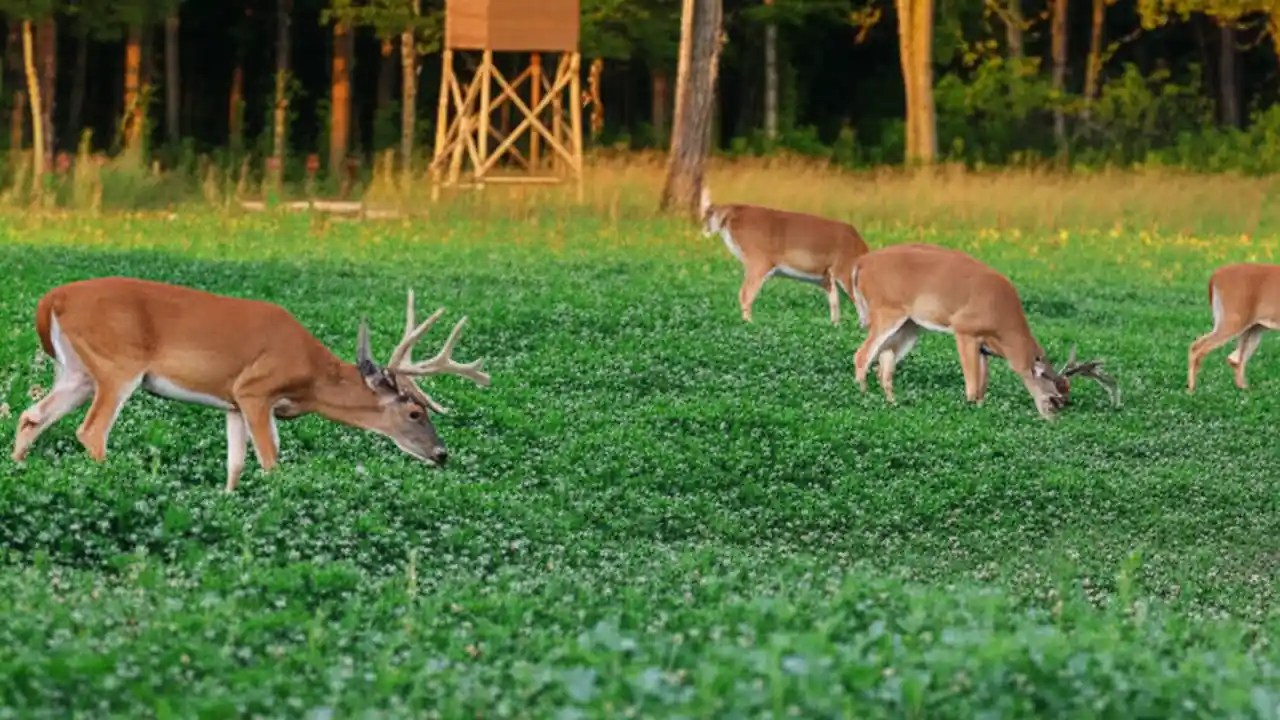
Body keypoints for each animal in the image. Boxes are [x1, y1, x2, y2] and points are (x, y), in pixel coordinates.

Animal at [10, 277, 491, 492]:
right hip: (117, 364)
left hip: (76, 371)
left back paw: (18, 471)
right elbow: (270, 460)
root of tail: (50, 301)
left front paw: (229, 503)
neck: (310, 379)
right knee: (91, 431)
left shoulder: (231, 404)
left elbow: (235, 464)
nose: (442, 454)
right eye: (415, 411)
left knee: (31, 415)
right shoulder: (255, 390)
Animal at [700, 186, 871, 325]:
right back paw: (750, 323)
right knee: (745, 293)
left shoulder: (827, 278)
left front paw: (836, 325)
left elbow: (835, 302)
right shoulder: (844, 268)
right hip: (759, 260)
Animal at [849, 243, 1119, 418]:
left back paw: (892, 403)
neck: (1004, 324)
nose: (1056, 411)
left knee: (884, 362)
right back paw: (864, 398)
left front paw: (980, 409)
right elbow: (971, 387)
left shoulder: (984, 348)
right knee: (862, 355)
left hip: (910, 325)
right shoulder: (965, 329)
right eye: (1054, 395)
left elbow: (981, 388)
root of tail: (860, 263)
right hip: (887, 310)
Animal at [1187, 262, 1280, 393]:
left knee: (1235, 358)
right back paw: (1191, 388)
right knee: (1197, 347)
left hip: (1253, 327)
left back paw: (1244, 388)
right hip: (1233, 319)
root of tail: (1214, 277)